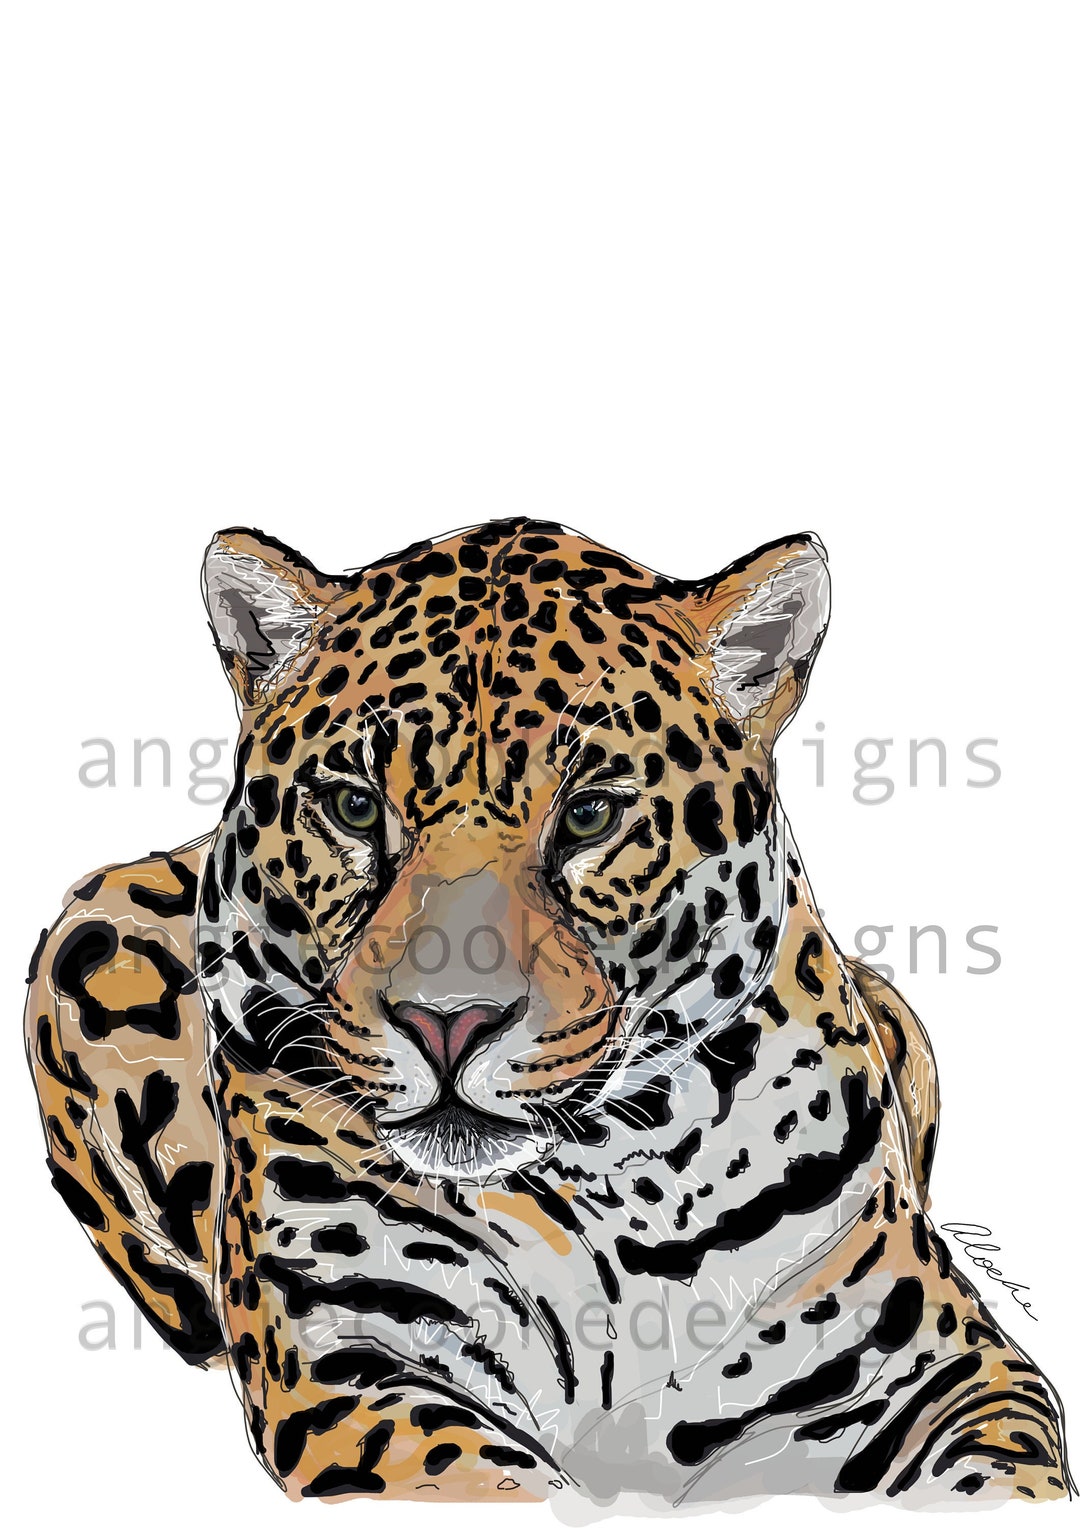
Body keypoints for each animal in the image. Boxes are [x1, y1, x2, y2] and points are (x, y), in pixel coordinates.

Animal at [25, 519, 1070, 1505]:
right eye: (355, 808)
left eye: (590, 816)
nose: (449, 1022)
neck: (611, 1188)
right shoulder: (359, 1369)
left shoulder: (935, 1361)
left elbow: (1005, 1470)